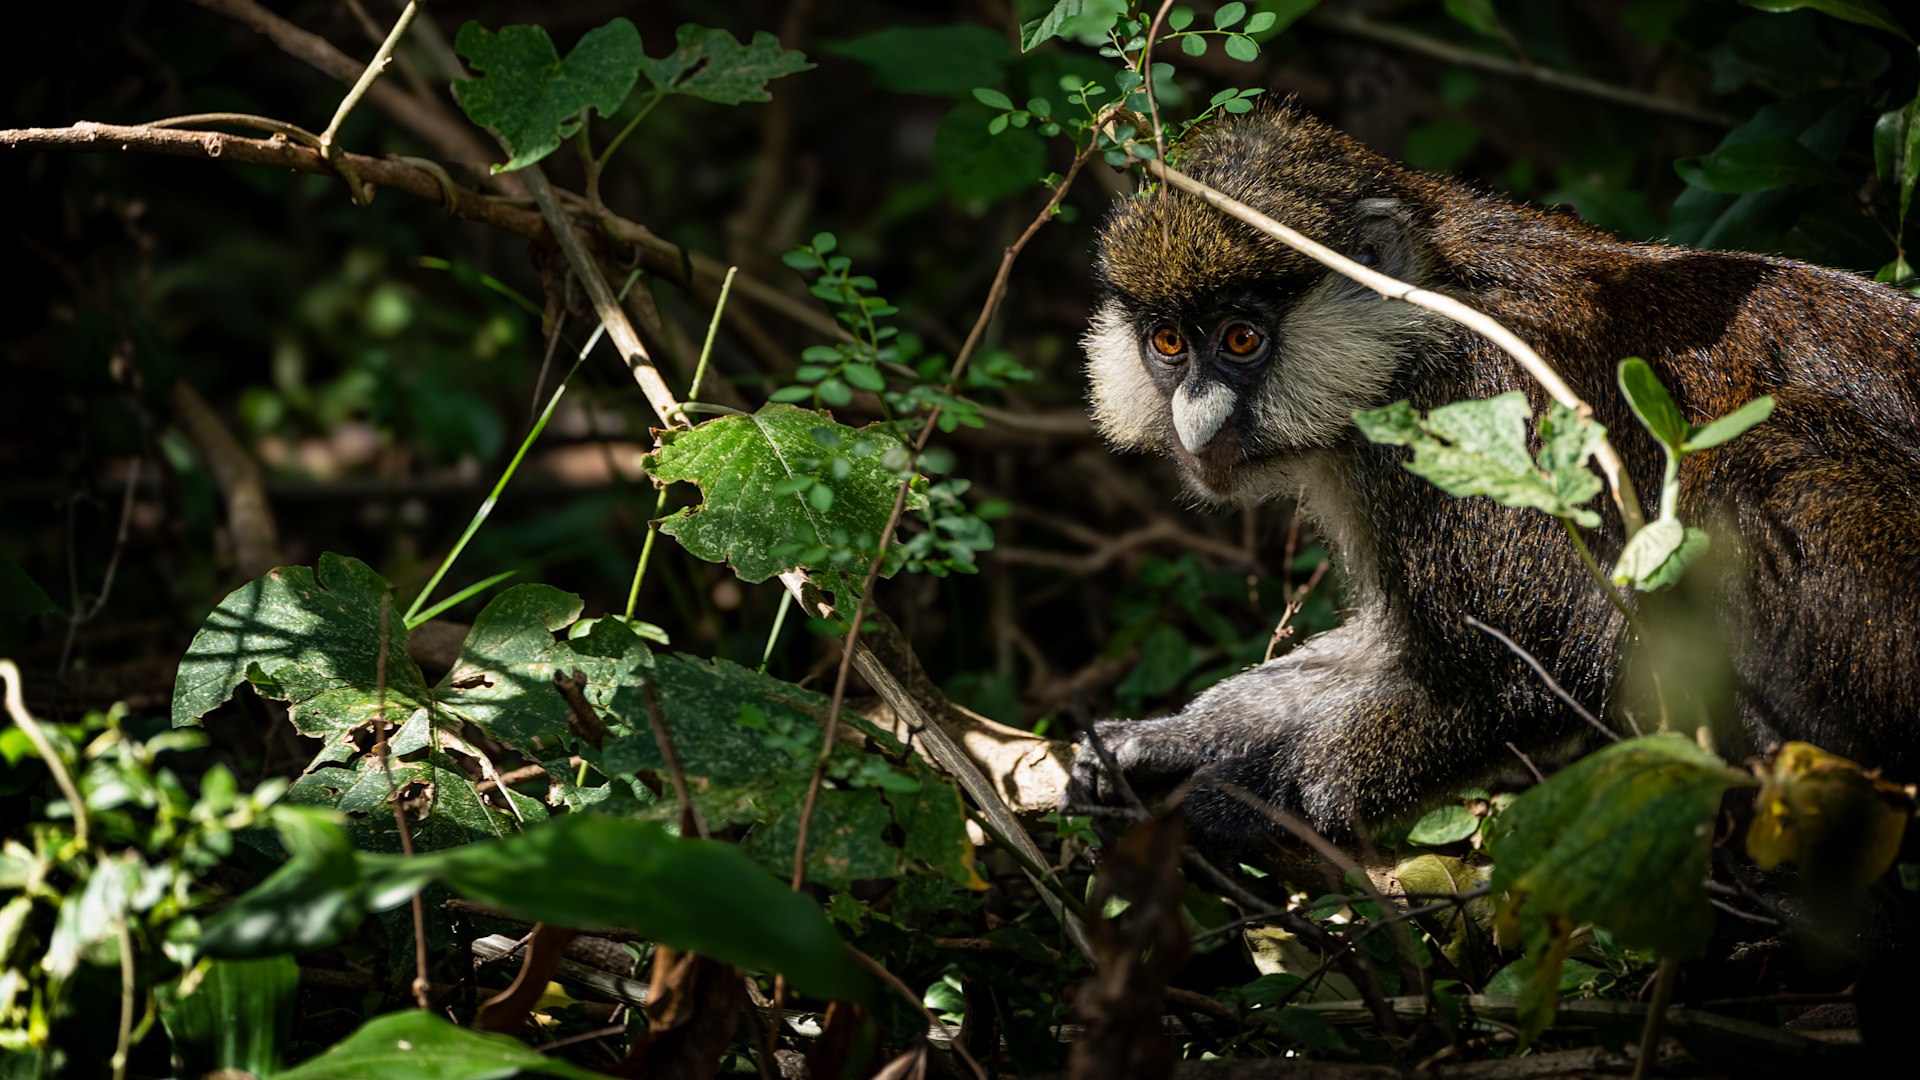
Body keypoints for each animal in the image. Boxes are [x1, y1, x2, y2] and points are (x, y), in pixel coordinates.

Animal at [1069, 103, 1920, 857]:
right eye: (1169, 343)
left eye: (1242, 339)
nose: (1196, 424)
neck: (1417, 330)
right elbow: (1388, 652)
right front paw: (1169, 741)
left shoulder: (1483, 411)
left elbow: (1537, 667)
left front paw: (1251, 802)